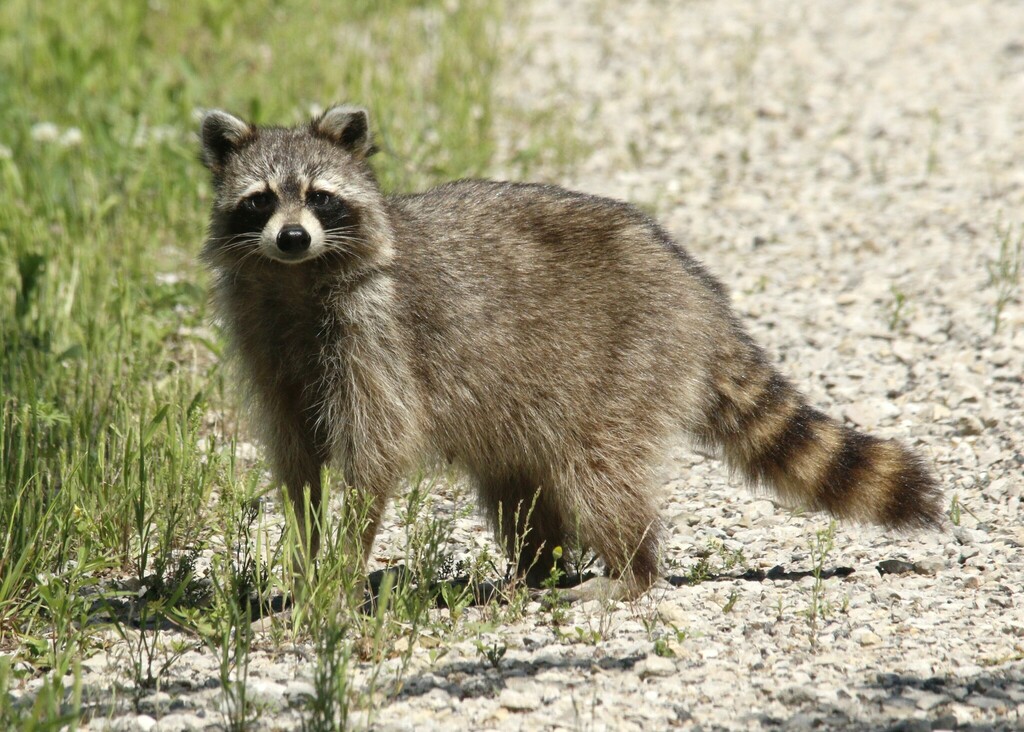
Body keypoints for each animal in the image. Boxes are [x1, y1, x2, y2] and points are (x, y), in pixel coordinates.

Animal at [199, 104, 941, 600]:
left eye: (320, 197)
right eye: (260, 201)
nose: (293, 236)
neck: (295, 281)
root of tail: (697, 290)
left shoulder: (376, 338)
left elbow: (372, 455)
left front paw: (340, 566)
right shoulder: (269, 344)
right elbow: (298, 459)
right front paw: (305, 559)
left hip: (627, 360)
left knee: (599, 472)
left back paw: (629, 571)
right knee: (518, 488)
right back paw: (537, 569)